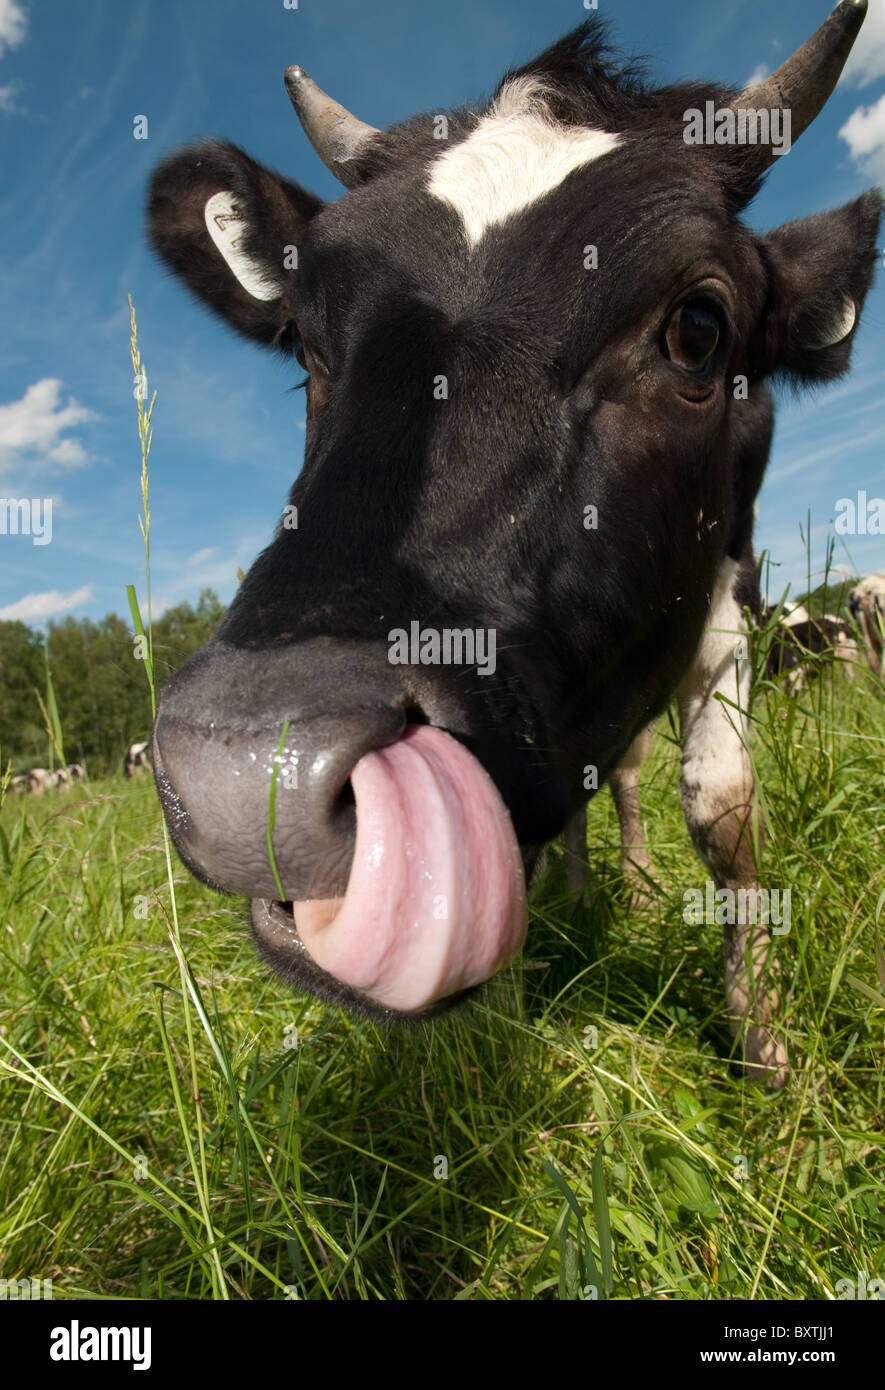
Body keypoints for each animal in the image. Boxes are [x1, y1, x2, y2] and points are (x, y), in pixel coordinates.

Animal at [146, 2, 881, 1088]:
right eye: (309, 348)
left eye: (699, 329)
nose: (250, 776)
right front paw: (510, 1019)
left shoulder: (730, 588)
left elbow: (723, 807)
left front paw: (764, 1045)